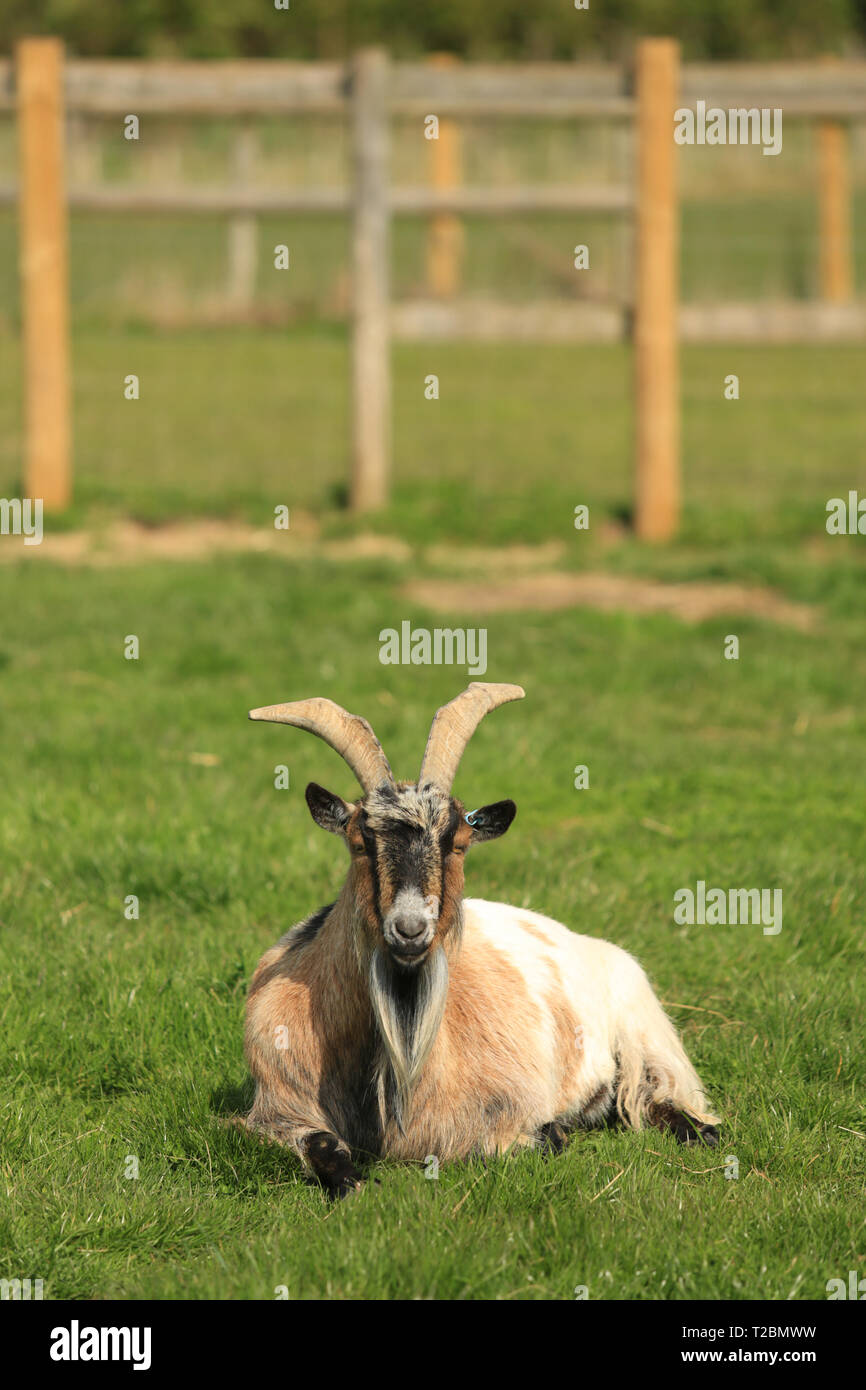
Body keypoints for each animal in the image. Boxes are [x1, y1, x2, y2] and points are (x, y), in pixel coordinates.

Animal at [242, 683, 718, 1194]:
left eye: (458, 843)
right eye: (358, 842)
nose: (410, 929)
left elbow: (541, 1140)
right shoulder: (274, 1106)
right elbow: (320, 1145)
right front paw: (353, 1183)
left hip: (643, 1034)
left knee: (658, 1099)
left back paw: (698, 1132)